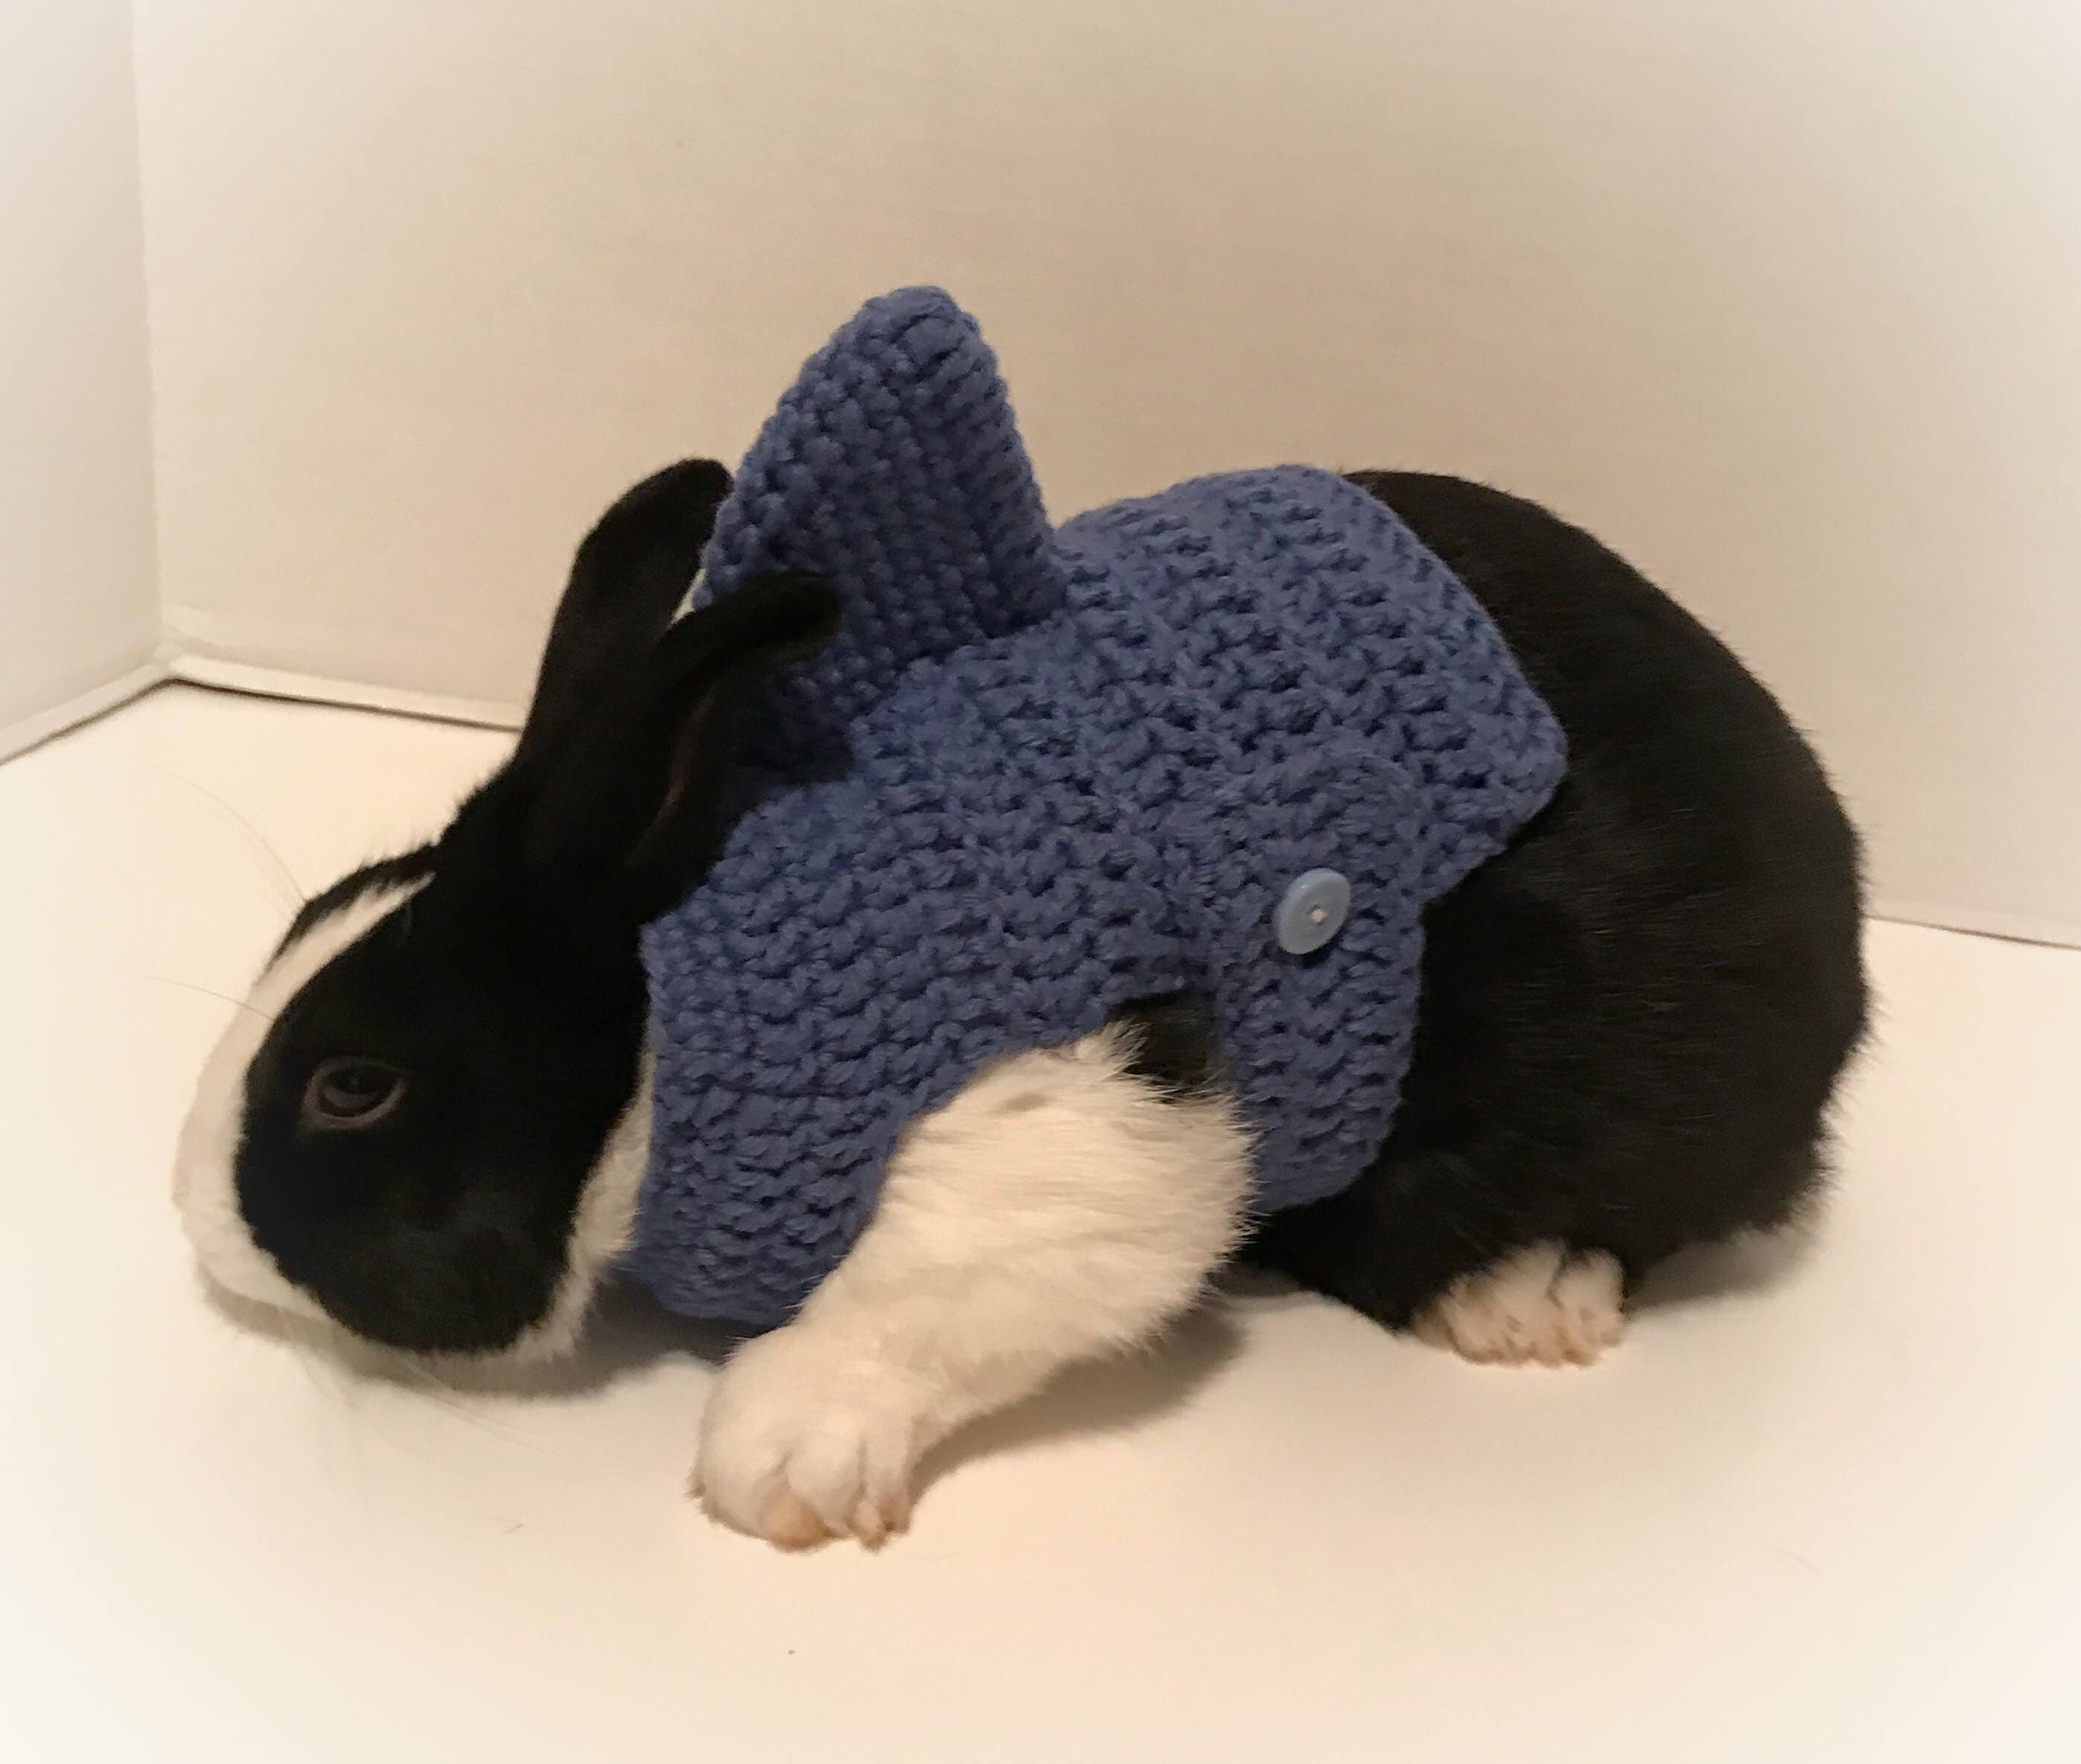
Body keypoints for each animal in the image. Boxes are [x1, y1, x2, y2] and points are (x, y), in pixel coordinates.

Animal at [175, 457, 1867, 1551]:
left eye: (352, 1086)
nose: (197, 1226)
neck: (682, 1000)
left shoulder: (1077, 1110)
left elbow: (934, 1281)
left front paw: (777, 1457)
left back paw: (1521, 1295)